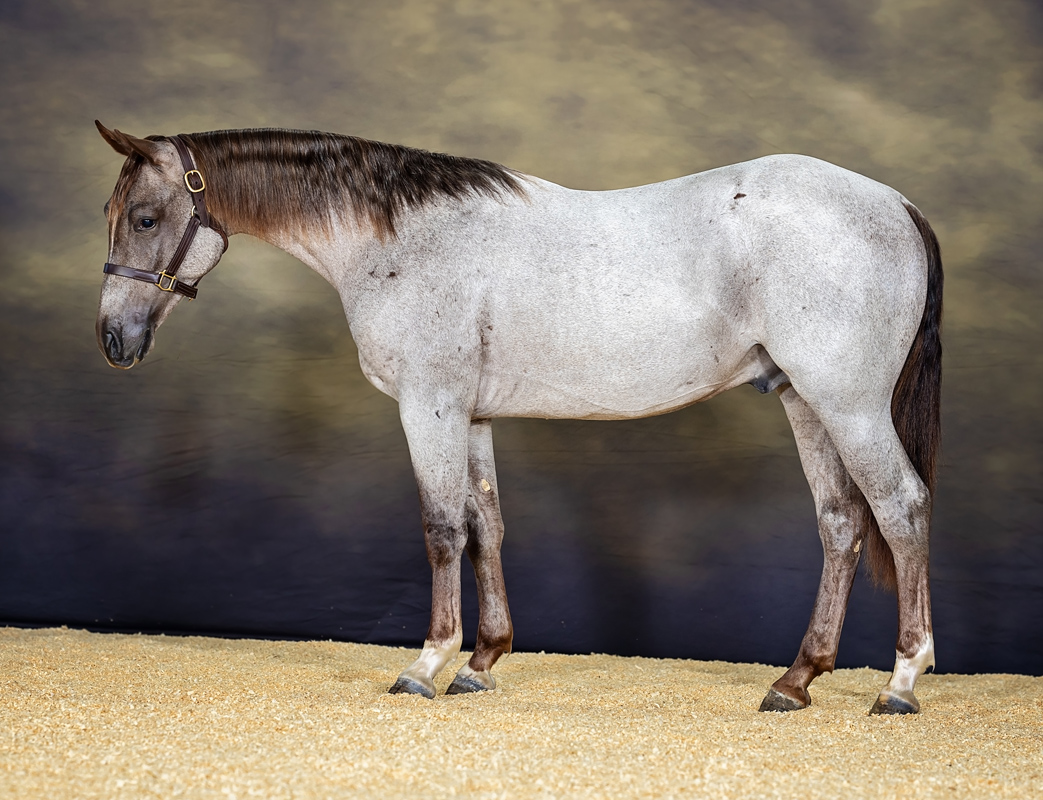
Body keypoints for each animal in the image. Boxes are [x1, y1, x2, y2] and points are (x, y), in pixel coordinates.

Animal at [93, 120, 942, 715]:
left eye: (145, 217)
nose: (113, 339)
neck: (400, 240)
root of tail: (895, 205)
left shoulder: (429, 405)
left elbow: (441, 529)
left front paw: (425, 665)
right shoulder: (469, 415)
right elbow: (485, 527)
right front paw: (481, 663)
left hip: (848, 405)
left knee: (899, 510)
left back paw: (899, 682)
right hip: (805, 401)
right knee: (840, 522)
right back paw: (795, 681)